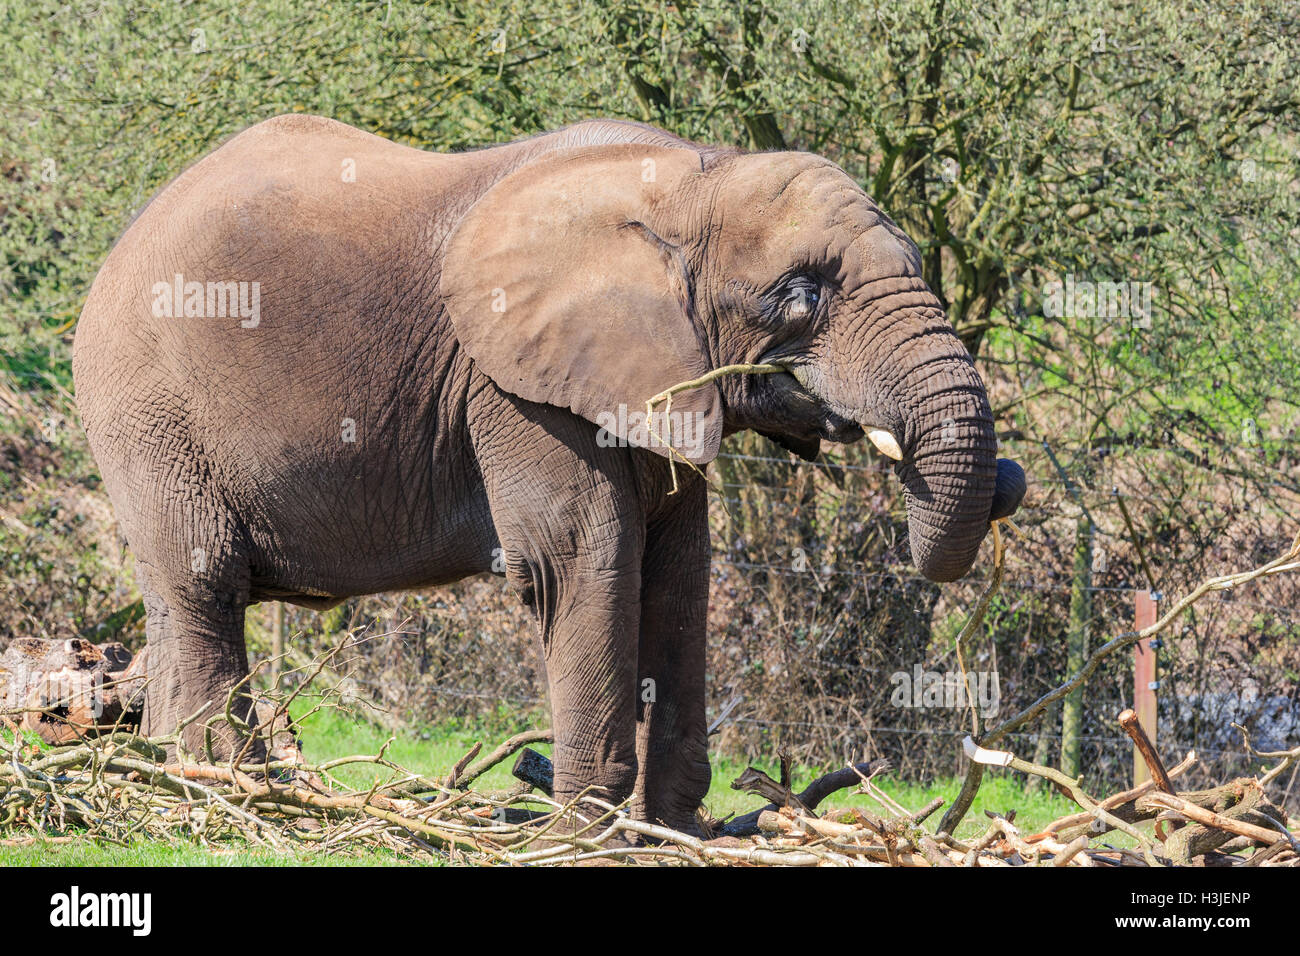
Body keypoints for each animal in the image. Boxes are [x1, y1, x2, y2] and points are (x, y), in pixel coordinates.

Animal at [73, 114, 1025, 832]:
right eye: (799, 294)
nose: (1011, 479)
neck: (689, 177)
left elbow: (680, 569)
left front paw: (674, 833)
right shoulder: (515, 389)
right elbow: (579, 560)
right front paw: (583, 837)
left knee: (178, 598)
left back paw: (170, 769)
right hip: (147, 408)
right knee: (204, 580)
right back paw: (224, 786)